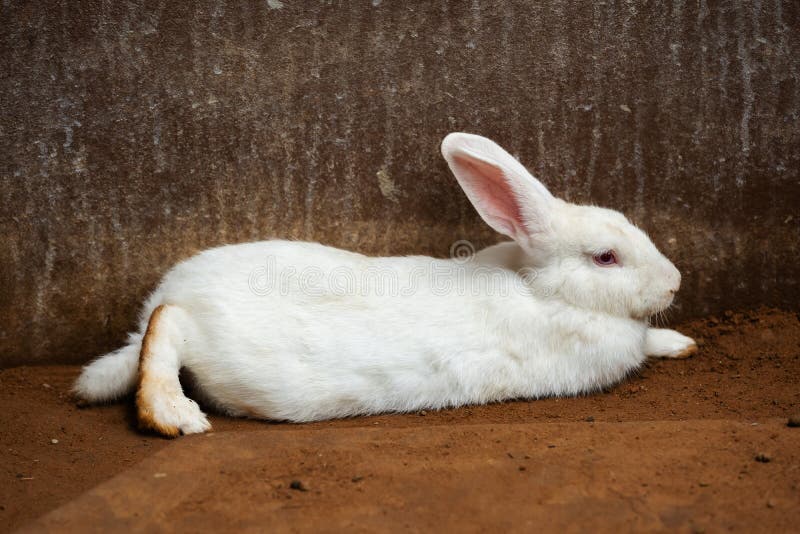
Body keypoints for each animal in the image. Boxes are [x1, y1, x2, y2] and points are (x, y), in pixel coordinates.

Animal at [73, 132, 697, 437]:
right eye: (606, 257)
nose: (674, 284)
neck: (543, 290)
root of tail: (170, 290)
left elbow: (651, 339)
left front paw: (682, 341)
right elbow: (640, 340)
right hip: (195, 330)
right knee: (165, 331)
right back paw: (173, 416)